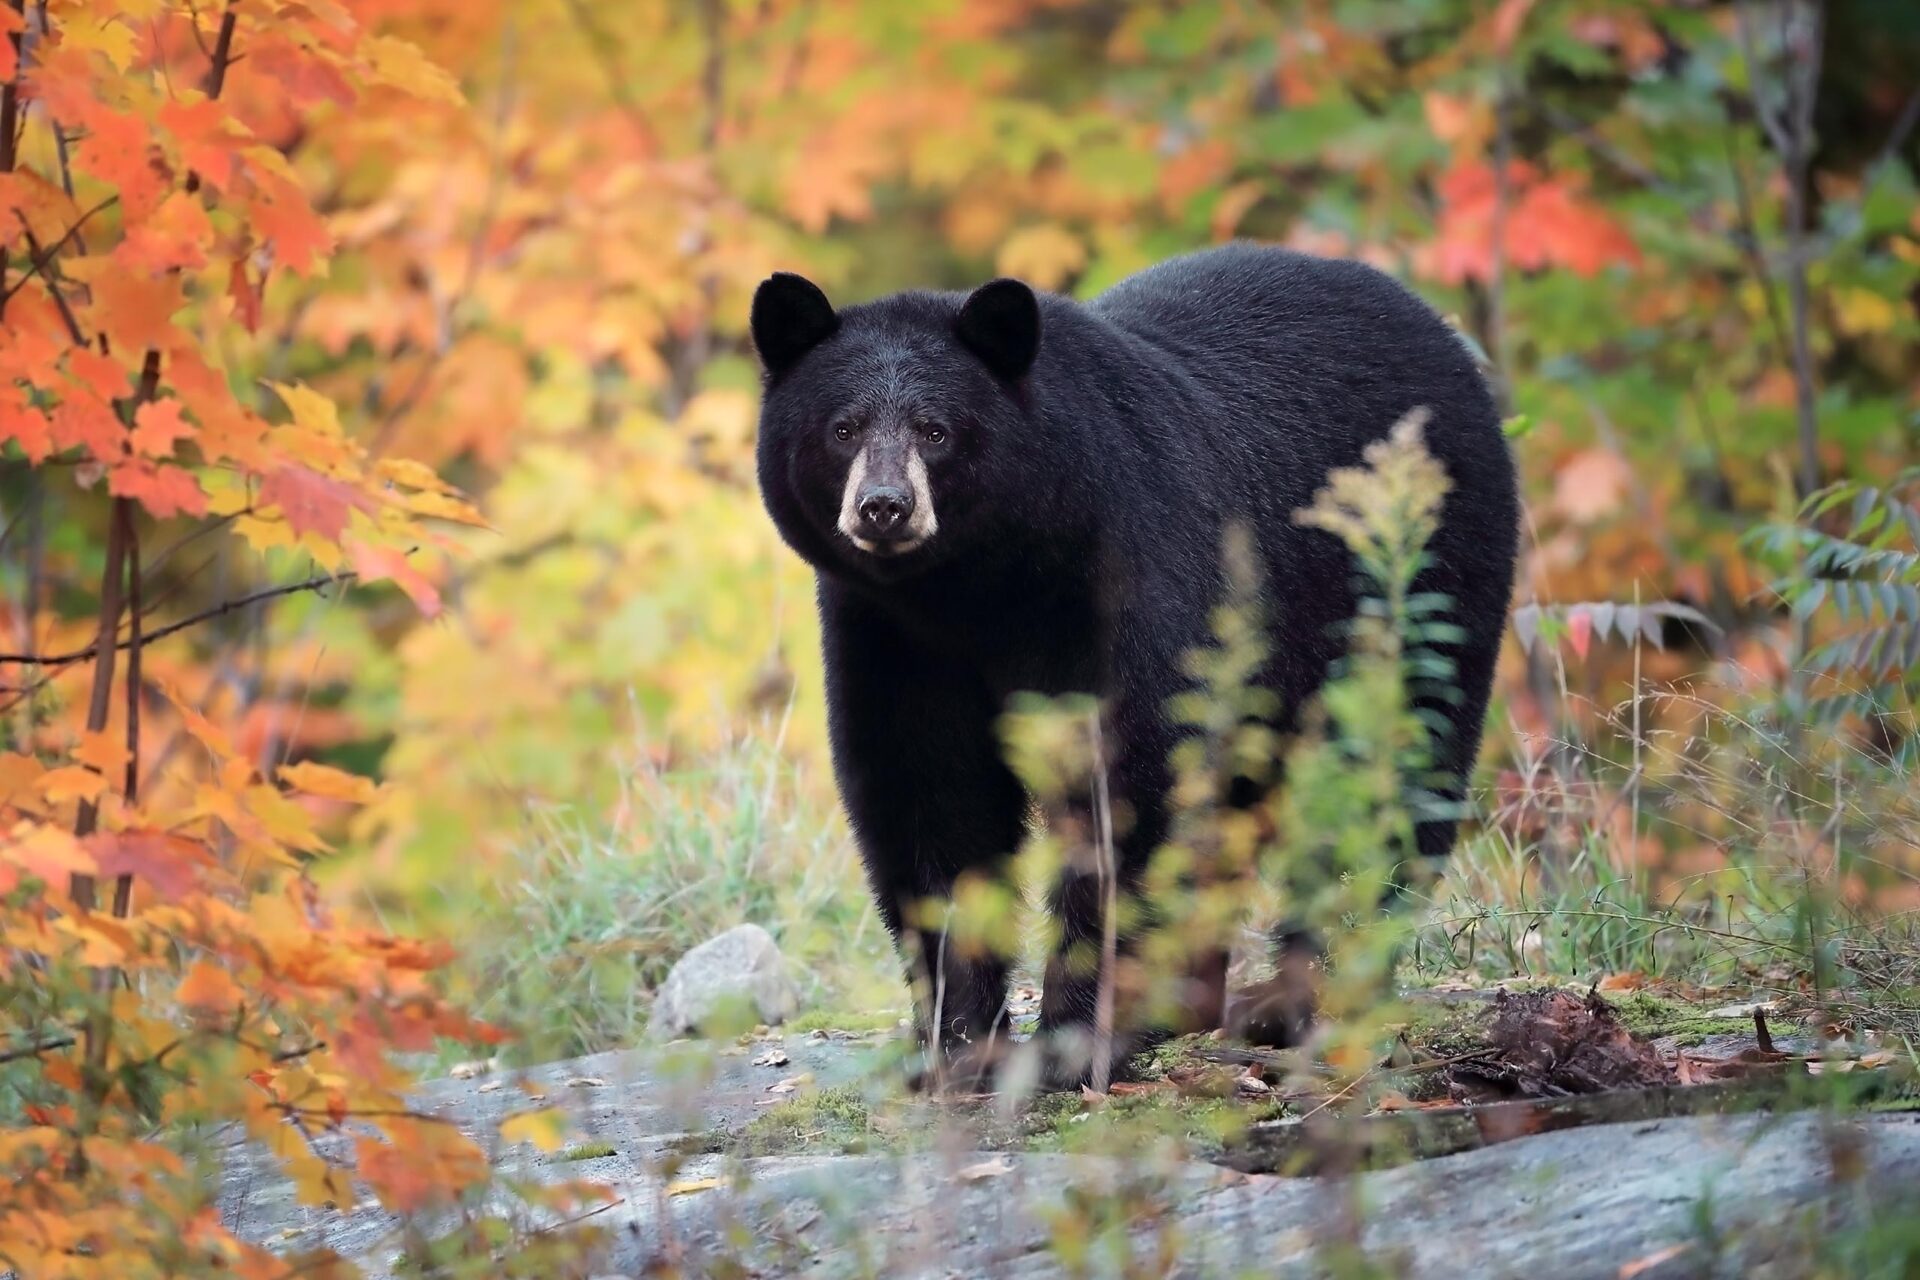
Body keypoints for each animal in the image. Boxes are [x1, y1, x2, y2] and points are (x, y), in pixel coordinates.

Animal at [750, 242, 1519, 1089]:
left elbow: (1135, 782)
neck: (982, 583)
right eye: (842, 427)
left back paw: (1305, 996)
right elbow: (928, 796)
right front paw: (957, 1043)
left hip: (1416, 580)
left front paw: (1077, 1037)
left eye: (937, 429)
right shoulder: (891, 634)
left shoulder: (1133, 570)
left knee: (1388, 769)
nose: (885, 506)